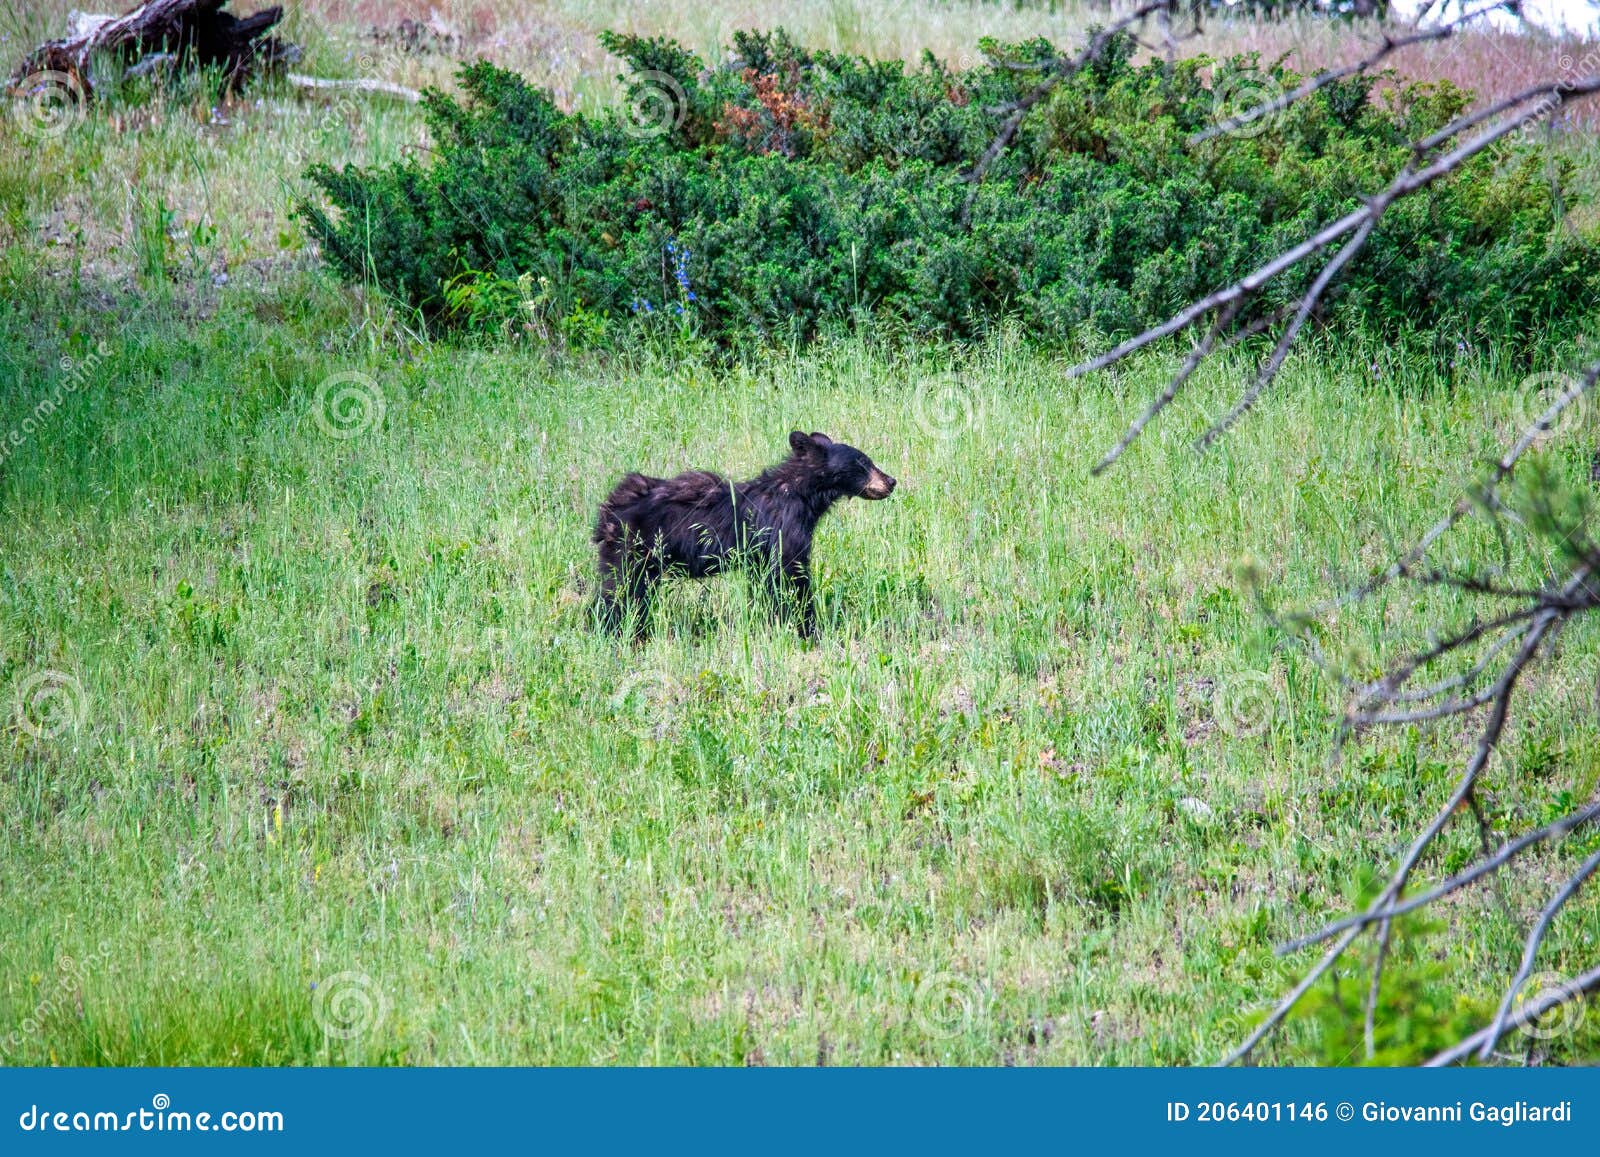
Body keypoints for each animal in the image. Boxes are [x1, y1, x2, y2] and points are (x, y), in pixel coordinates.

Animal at [593, 431, 896, 639]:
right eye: (863, 462)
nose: (891, 481)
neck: (801, 493)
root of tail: (607, 509)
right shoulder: (785, 530)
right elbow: (792, 577)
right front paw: (807, 628)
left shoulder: (759, 556)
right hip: (632, 552)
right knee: (620, 592)